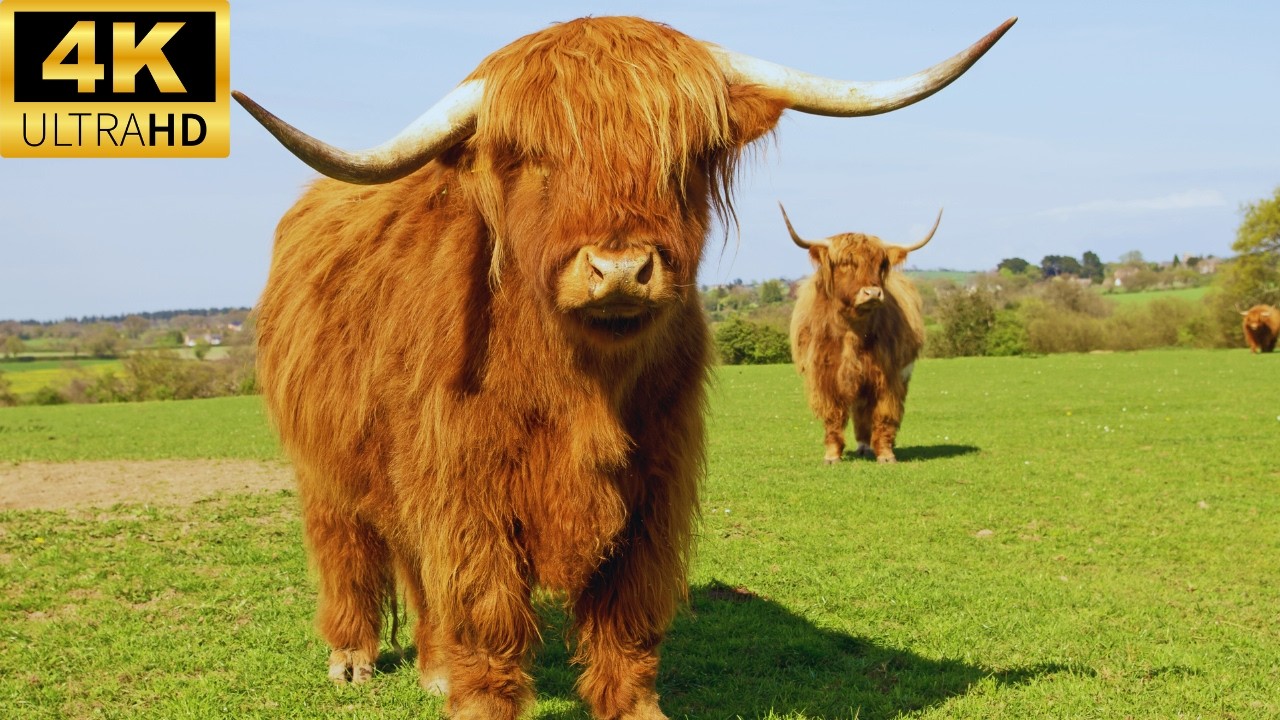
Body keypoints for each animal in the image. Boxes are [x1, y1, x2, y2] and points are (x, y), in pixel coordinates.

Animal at [782, 204, 939, 465]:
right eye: (846, 263)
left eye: (880, 264)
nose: (873, 293)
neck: (851, 331)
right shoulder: (824, 376)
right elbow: (833, 416)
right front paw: (832, 455)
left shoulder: (888, 377)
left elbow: (884, 415)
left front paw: (886, 455)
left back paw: (870, 446)